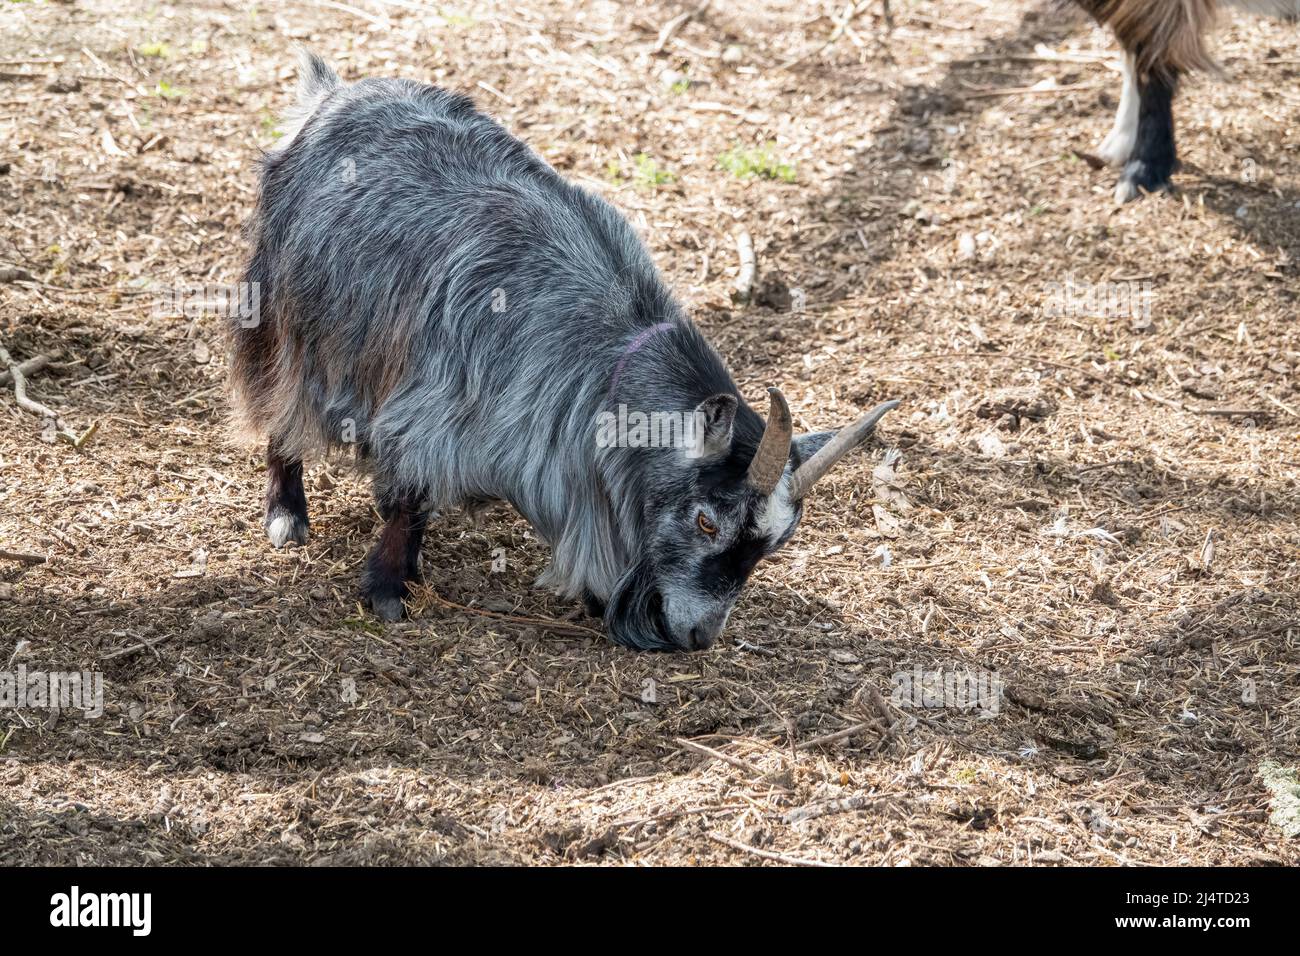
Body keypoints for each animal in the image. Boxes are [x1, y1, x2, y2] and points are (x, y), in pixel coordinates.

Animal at [229, 51, 898, 652]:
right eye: (708, 519)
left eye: (774, 544)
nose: (697, 636)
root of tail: (330, 95)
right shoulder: (434, 407)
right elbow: (410, 494)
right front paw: (389, 588)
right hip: (283, 317)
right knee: (278, 403)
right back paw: (286, 512)